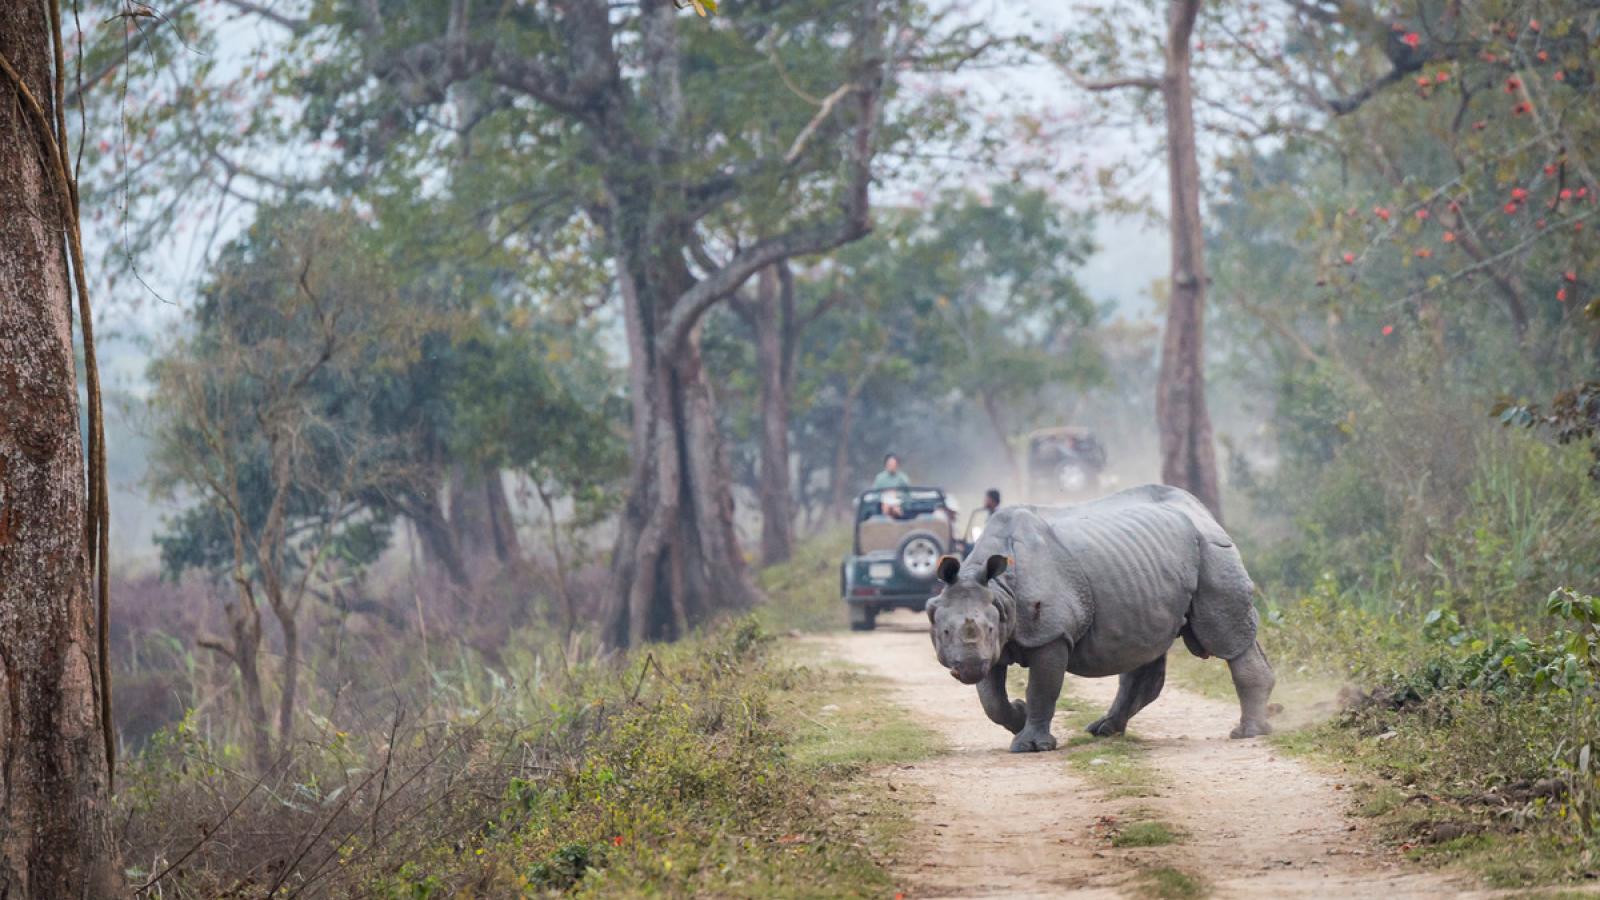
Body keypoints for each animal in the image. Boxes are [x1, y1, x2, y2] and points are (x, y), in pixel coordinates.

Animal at [925, 484, 1274, 752]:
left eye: (987, 628)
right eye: (943, 632)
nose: (969, 667)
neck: (998, 588)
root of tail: (1200, 509)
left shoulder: (1051, 634)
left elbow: (1041, 689)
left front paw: (1031, 745)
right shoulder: (997, 635)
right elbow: (991, 701)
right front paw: (1019, 719)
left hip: (1212, 550)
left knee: (1225, 636)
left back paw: (1247, 733)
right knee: (1145, 647)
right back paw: (1104, 729)